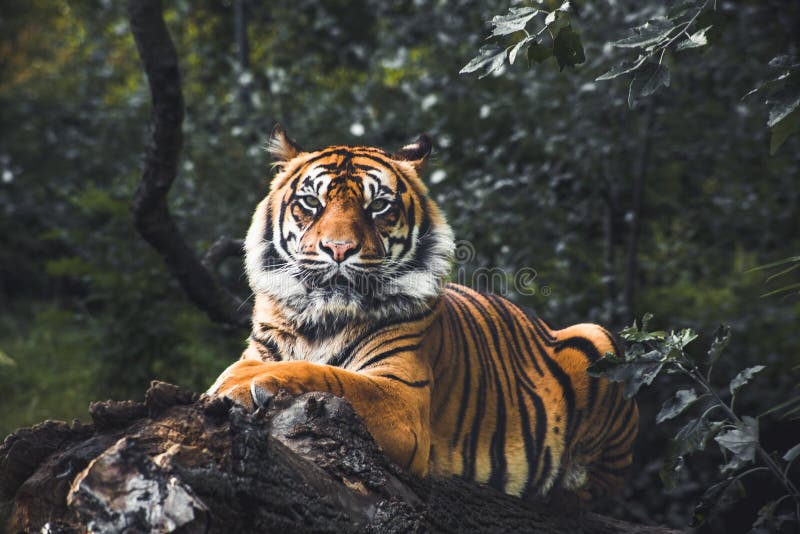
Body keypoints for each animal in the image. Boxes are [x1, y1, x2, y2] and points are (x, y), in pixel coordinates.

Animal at [208, 126, 638, 501]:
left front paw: (242, 383)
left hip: (599, 341)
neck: (322, 320)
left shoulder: (402, 397)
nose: (339, 249)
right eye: (312, 203)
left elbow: (330, 375)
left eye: (378, 206)